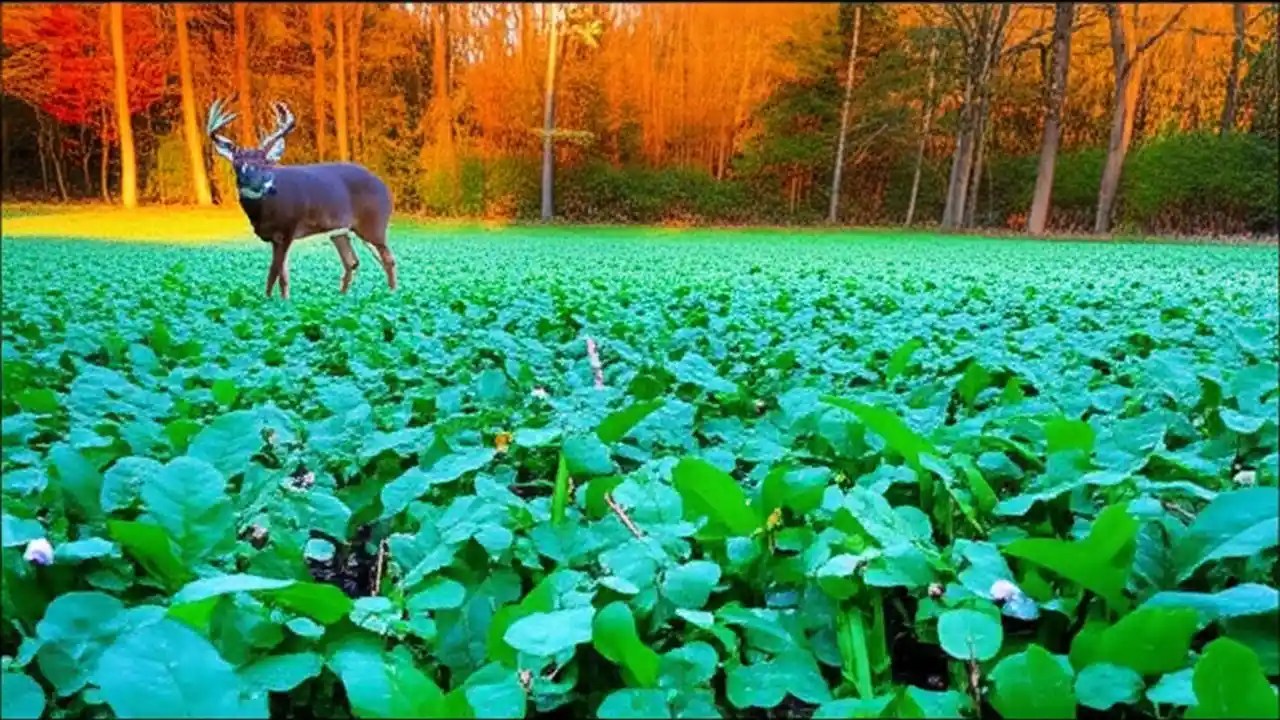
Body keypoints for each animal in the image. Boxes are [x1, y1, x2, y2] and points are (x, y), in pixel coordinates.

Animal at [206, 97, 398, 300]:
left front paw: (274, 300)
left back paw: (392, 292)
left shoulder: (287, 229)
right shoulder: (275, 238)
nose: (262, 185)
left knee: (388, 259)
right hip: (339, 231)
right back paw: (342, 295)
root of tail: (385, 188)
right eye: (237, 164)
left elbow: (275, 272)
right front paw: (277, 299)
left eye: (265, 162)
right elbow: (279, 274)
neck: (264, 214)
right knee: (352, 261)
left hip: (373, 224)